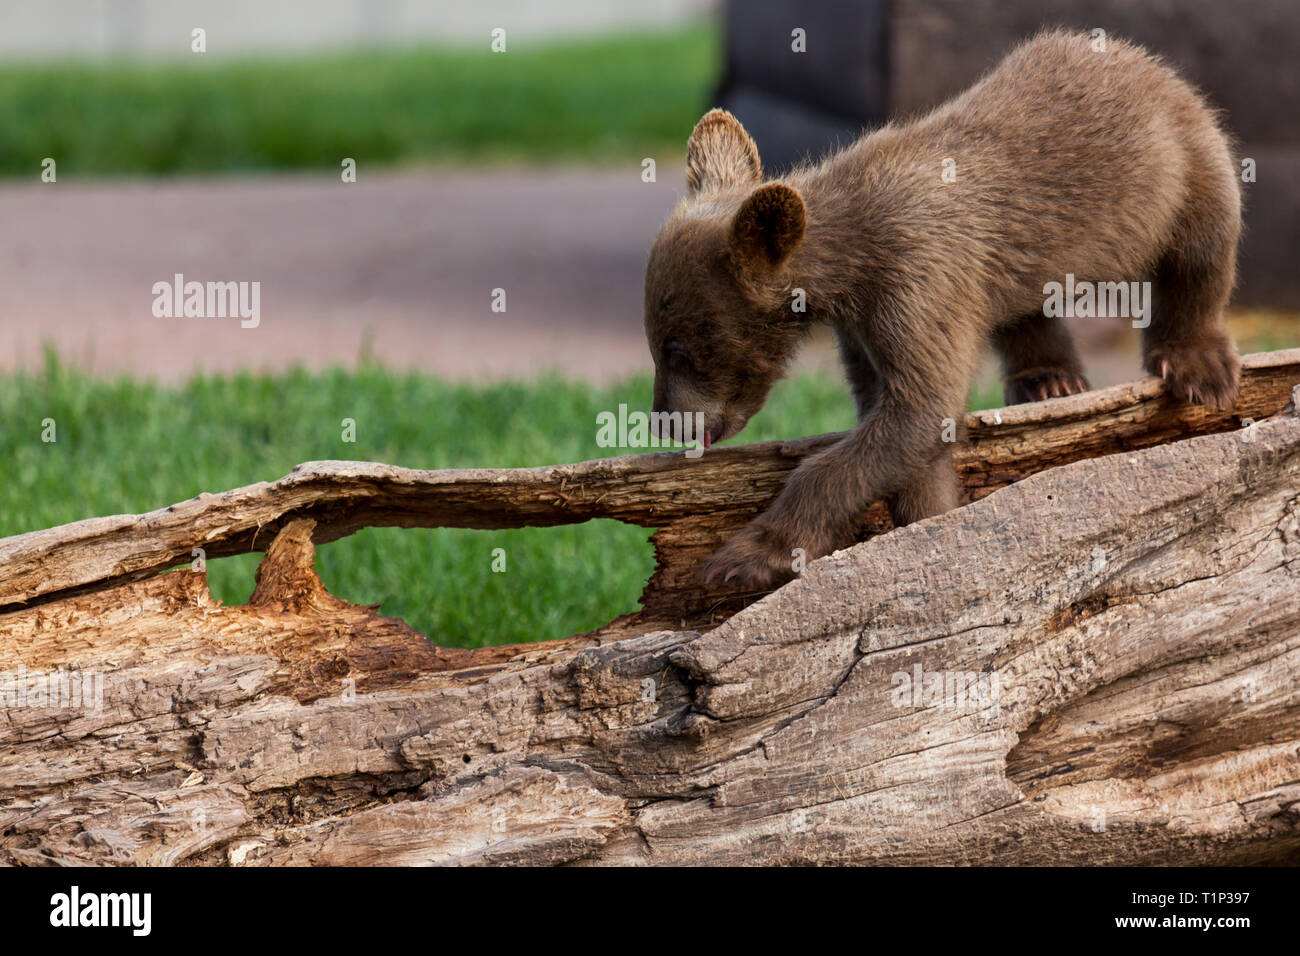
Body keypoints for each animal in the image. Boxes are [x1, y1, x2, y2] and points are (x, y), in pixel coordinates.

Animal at [641, 28, 1243, 591]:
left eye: (677, 348)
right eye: (658, 343)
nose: (665, 422)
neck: (850, 264)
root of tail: (1142, 58)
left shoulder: (920, 276)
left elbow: (918, 412)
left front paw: (743, 557)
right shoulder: (867, 323)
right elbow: (902, 425)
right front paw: (929, 523)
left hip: (1186, 160)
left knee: (1202, 252)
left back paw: (1197, 364)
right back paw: (1049, 380)